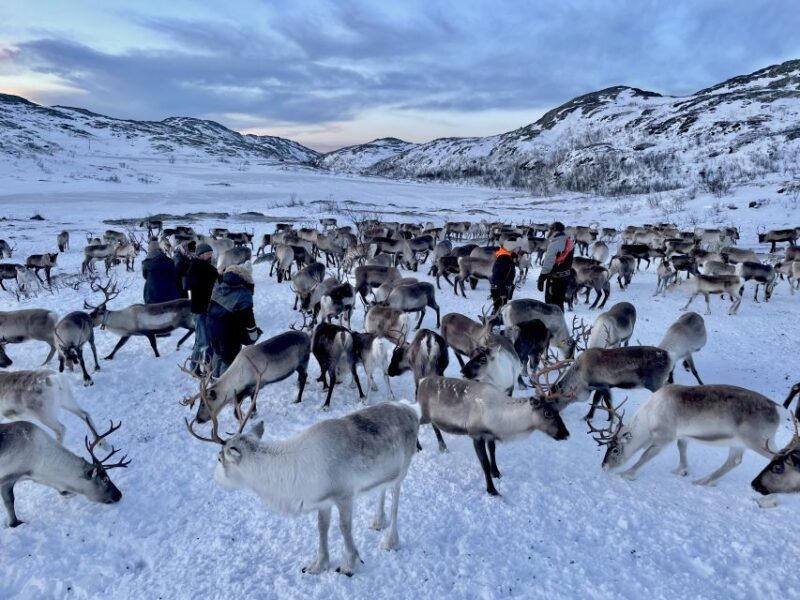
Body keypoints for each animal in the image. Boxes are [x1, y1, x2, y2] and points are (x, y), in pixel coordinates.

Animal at [186, 376, 419, 576]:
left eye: (219, 458)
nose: (215, 479)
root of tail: (411, 409)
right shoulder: (323, 501)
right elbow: (322, 528)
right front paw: (318, 565)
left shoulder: (344, 495)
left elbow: (344, 528)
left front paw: (349, 565)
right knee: (382, 489)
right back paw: (378, 521)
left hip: (403, 469)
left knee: (396, 499)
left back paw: (390, 541)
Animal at [416, 367, 570, 495]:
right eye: (548, 413)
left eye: (557, 410)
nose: (566, 434)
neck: (501, 419)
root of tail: (422, 381)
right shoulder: (476, 435)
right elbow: (484, 463)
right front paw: (492, 490)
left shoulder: (490, 436)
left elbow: (493, 453)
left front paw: (497, 473)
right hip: (424, 413)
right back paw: (418, 447)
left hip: (432, 417)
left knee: (434, 425)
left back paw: (442, 447)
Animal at [591, 385, 781, 485]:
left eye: (615, 449)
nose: (603, 466)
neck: (648, 418)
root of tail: (778, 412)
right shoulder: (682, 435)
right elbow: (682, 448)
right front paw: (681, 470)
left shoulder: (664, 436)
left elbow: (645, 455)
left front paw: (627, 474)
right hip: (739, 443)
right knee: (734, 461)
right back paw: (704, 481)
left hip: (758, 441)